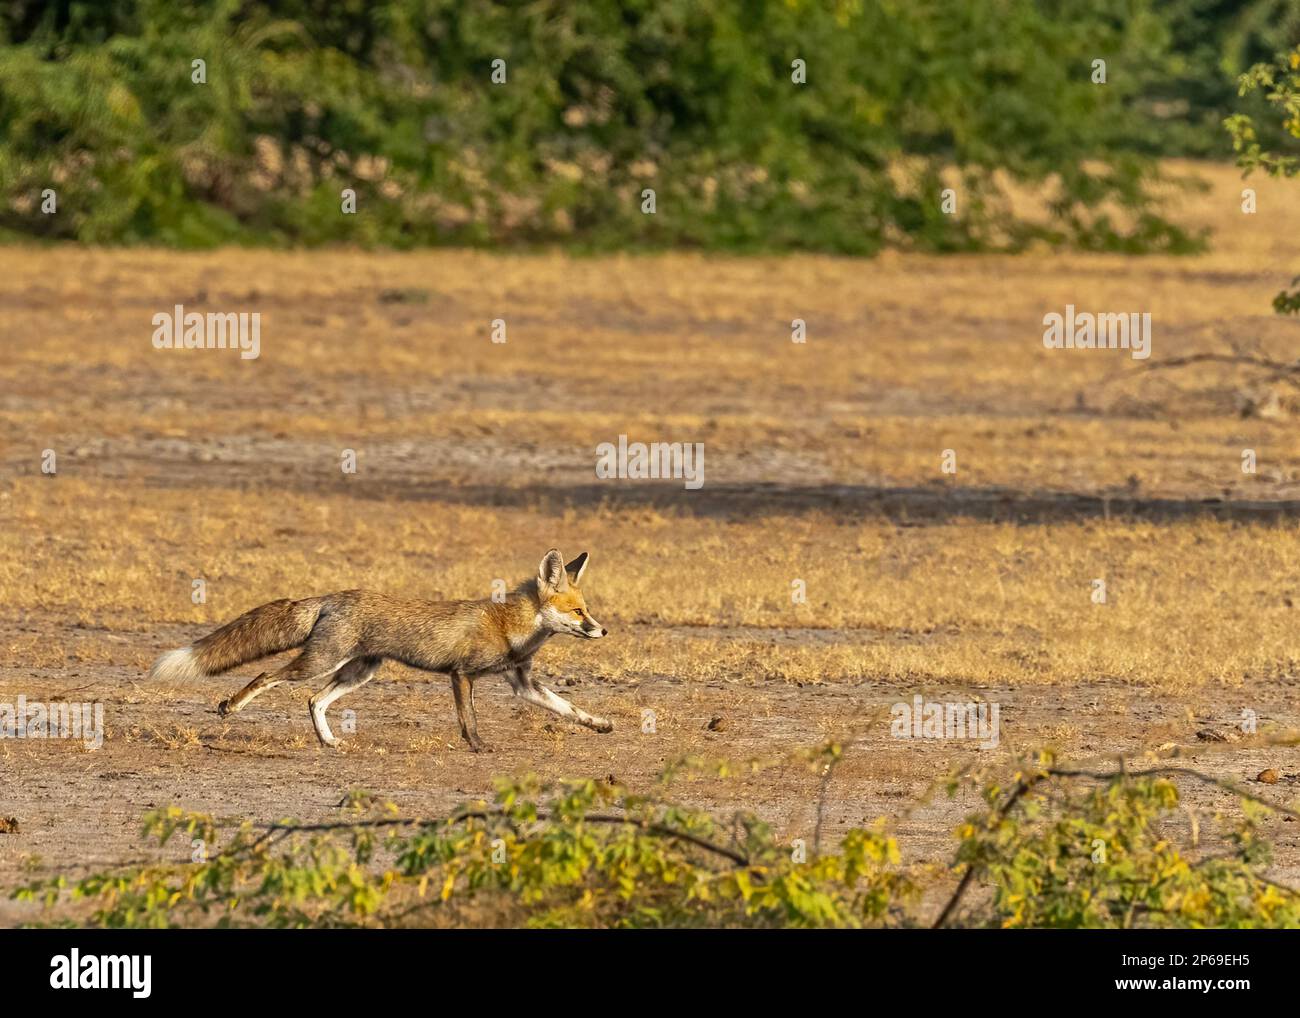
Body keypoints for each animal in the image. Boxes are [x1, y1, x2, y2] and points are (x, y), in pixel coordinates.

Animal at [147, 549, 611, 752]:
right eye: (578, 611)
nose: (602, 629)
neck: (509, 627)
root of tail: (332, 596)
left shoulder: (522, 681)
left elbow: (570, 708)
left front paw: (601, 724)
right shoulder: (461, 675)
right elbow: (469, 719)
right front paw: (478, 747)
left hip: (359, 670)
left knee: (314, 700)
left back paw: (329, 740)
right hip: (321, 661)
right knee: (268, 677)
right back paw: (231, 706)